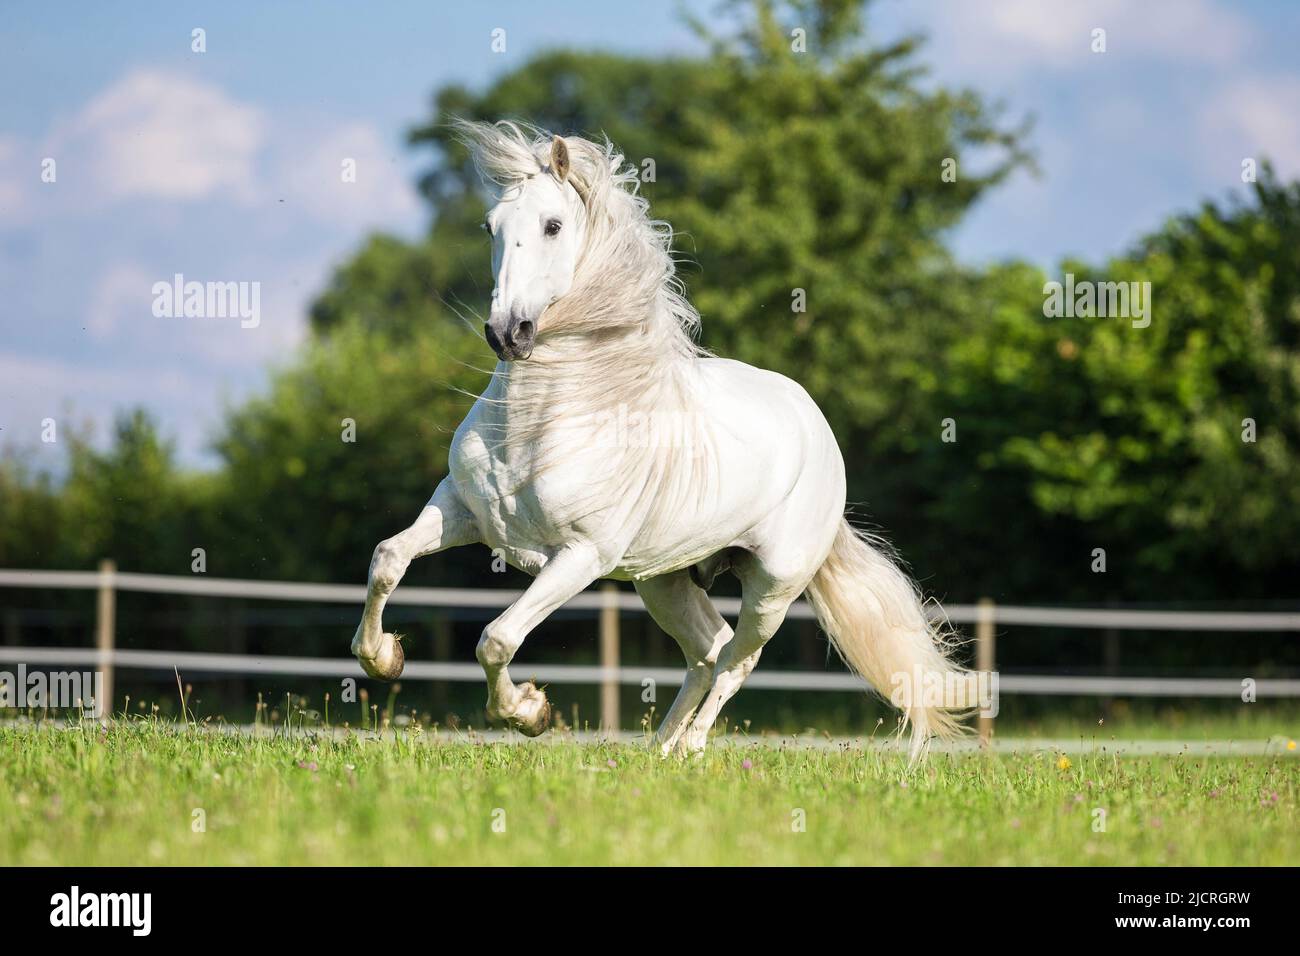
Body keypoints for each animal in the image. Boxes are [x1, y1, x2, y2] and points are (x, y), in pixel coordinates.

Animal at [351, 120, 969, 758]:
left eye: (553, 225)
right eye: (490, 226)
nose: (507, 333)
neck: (536, 429)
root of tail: (818, 430)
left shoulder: (580, 556)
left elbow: (496, 638)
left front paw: (530, 713)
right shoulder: (463, 512)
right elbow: (388, 558)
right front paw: (383, 658)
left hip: (771, 588)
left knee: (737, 660)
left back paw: (690, 746)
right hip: (665, 579)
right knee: (708, 649)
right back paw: (660, 752)